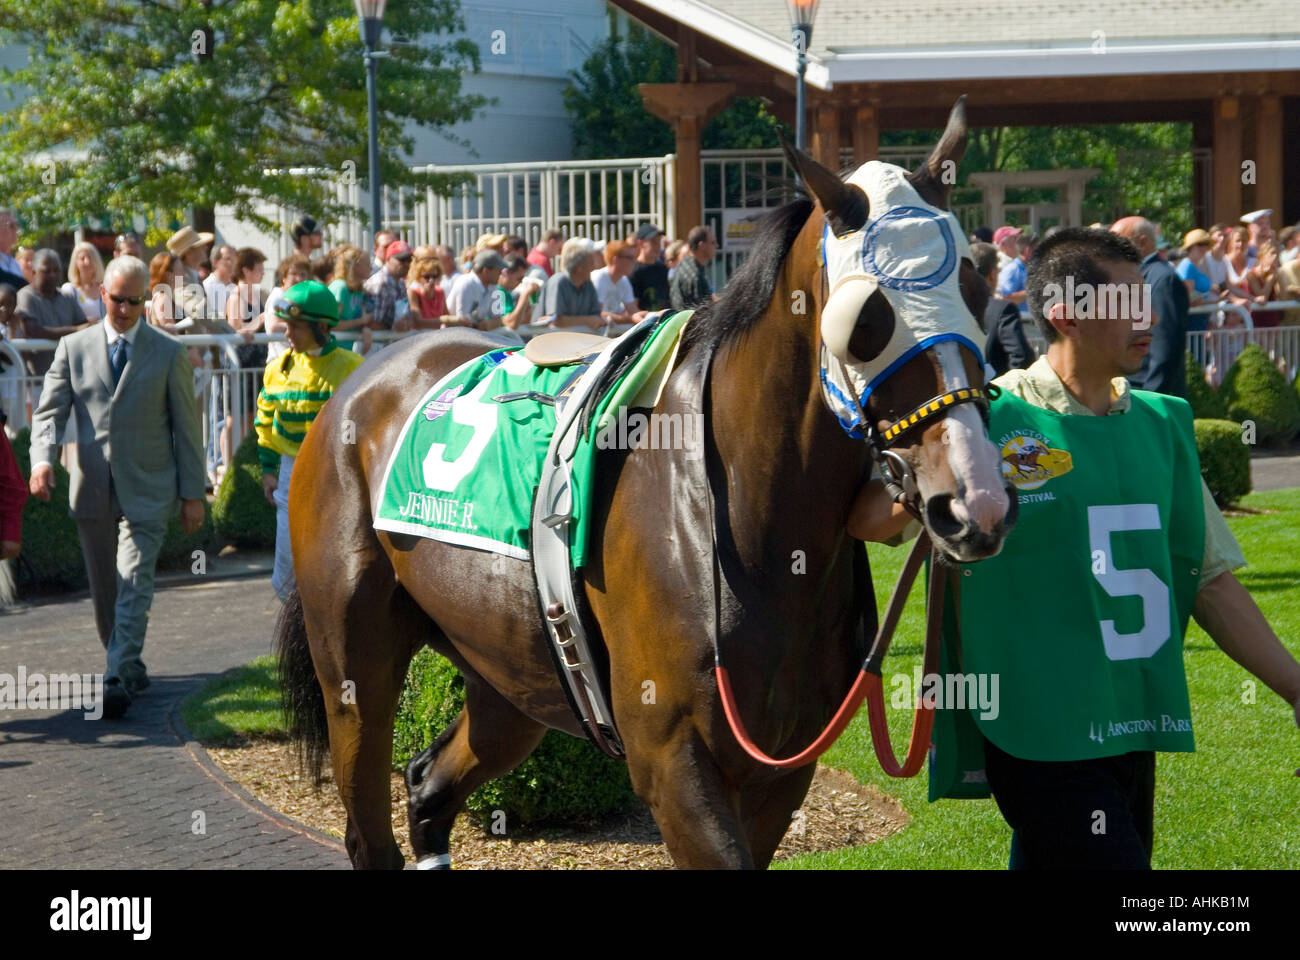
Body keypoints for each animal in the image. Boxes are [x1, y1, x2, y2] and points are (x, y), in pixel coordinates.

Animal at [277, 96, 1018, 869]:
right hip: (355, 665)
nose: (975, 501)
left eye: (977, 290)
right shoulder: (673, 759)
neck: (749, 524)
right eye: (865, 318)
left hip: (508, 674)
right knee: (369, 822)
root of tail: (359, 382)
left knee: (427, 785)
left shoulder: (781, 769)